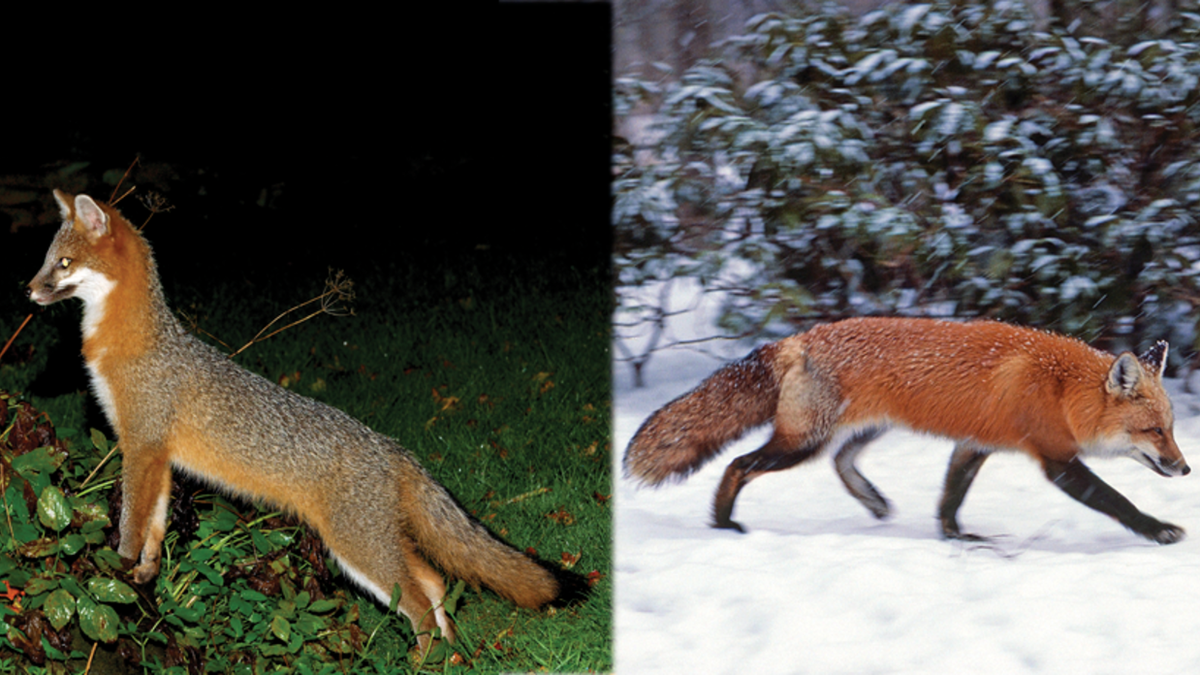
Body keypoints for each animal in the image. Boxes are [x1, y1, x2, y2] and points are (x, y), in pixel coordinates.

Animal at [26, 190, 561, 655]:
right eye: (47, 260)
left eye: (63, 264)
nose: (27, 290)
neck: (129, 342)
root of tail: (390, 446)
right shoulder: (157, 456)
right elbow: (155, 526)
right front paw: (143, 575)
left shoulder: (141, 446)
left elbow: (131, 525)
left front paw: (114, 572)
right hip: (377, 546)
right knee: (434, 583)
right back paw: (451, 656)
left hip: (358, 551)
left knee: (419, 606)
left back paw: (423, 660)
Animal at [625, 317, 1190, 544]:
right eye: (1153, 431)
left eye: (1171, 429)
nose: (1185, 468)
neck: (1060, 388)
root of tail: (800, 337)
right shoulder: (1056, 460)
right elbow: (1117, 501)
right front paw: (1159, 529)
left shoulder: (974, 444)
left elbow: (950, 498)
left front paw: (956, 537)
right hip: (800, 444)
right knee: (737, 465)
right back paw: (722, 523)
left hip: (866, 429)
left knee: (841, 462)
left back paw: (873, 502)